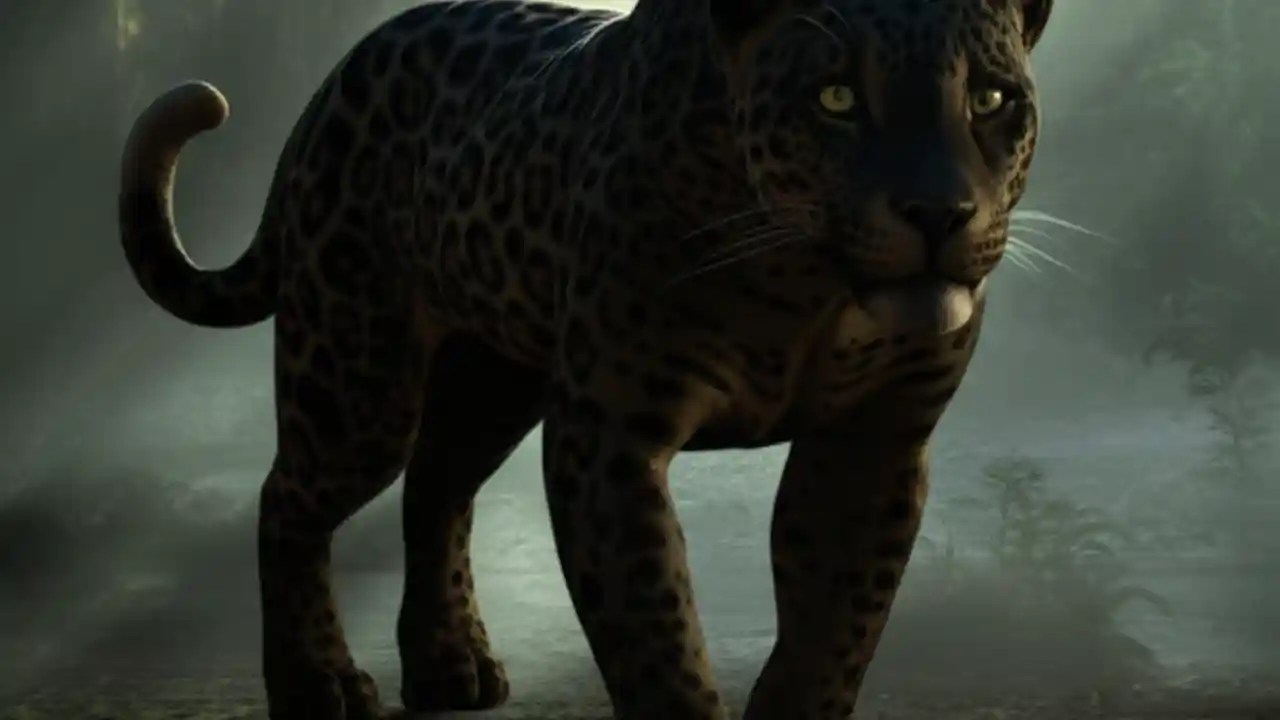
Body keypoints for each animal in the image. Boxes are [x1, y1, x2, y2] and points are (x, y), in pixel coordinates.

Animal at [117, 0, 1055, 718]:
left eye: (991, 99)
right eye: (836, 96)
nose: (938, 214)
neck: (806, 292)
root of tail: (333, 81)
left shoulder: (875, 440)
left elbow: (834, 629)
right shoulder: (609, 438)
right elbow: (656, 634)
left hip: (491, 379)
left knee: (436, 489)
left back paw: (451, 665)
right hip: (356, 379)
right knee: (289, 500)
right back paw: (319, 684)